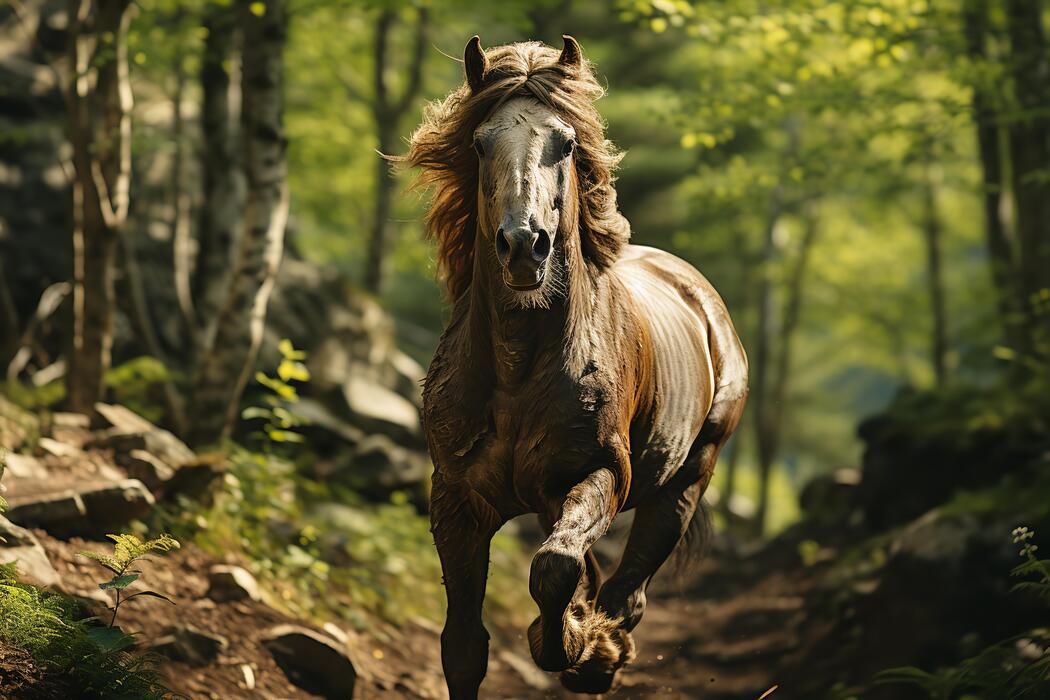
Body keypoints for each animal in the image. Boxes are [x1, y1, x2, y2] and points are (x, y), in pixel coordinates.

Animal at [404, 35, 749, 698]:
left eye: (564, 143)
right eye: (480, 143)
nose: (523, 246)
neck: (515, 370)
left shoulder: (601, 474)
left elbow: (554, 567)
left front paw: (573, 645)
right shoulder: (456, 501)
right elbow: (463, 646)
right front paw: (568, 638)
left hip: (684, 483)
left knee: (628, 587)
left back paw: (603, 651)